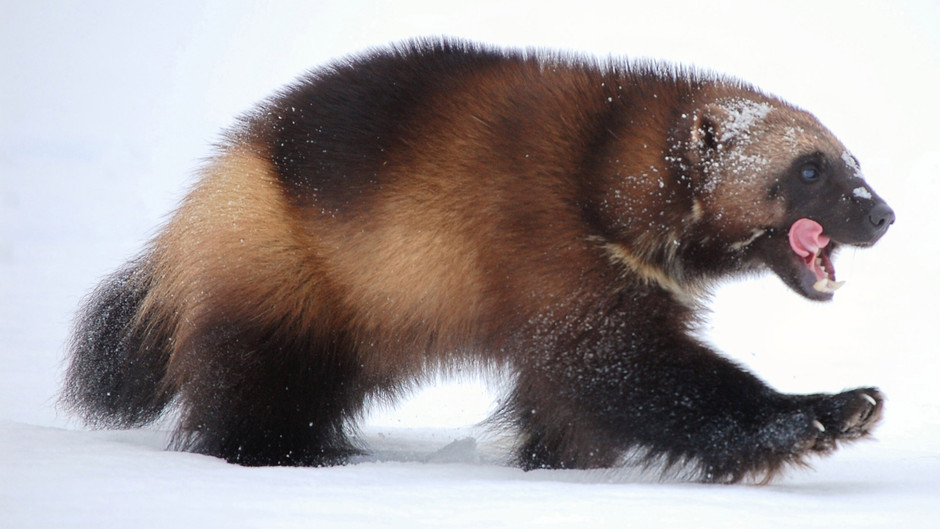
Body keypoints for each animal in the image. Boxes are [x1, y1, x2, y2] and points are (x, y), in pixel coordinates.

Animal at [62, 38, 894, 483]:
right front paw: (821, 412)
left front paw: (567, 463)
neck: (606, 173)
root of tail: (196, 203)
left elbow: (572, 397)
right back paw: (285, 454)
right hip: (276, 272)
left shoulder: (614, 287)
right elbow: (639, 375)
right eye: (810, 168)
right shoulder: (561, 259)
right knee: (252, 384)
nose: (883, 213)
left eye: (854, 161)